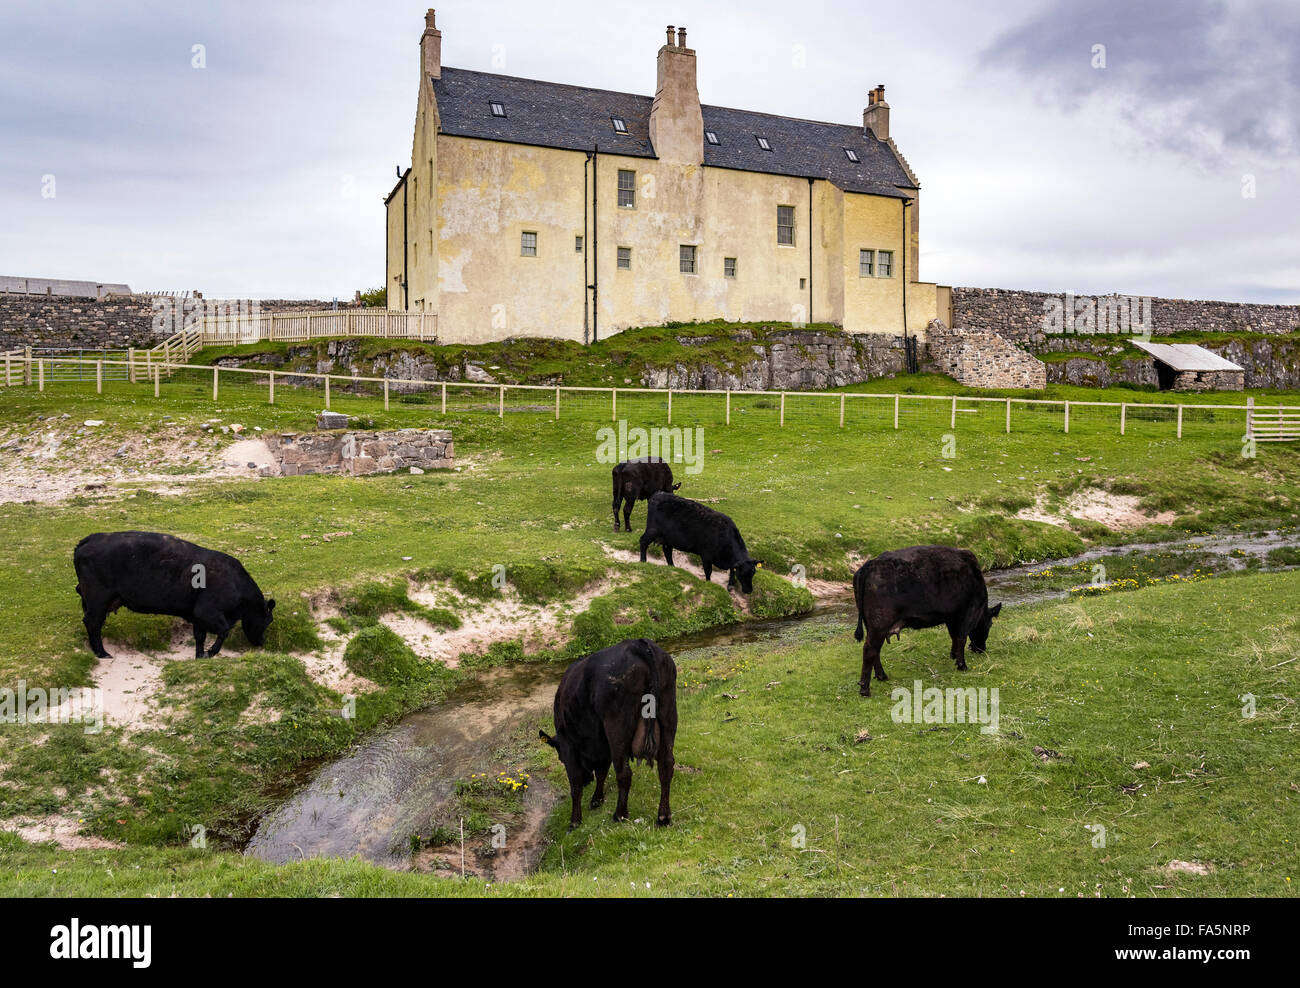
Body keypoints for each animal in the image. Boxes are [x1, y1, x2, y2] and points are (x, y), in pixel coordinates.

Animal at [73, 531, 276, 659]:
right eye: (267, 621)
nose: (262, 641)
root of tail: (89, 539)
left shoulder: (197, 616)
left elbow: (200, 637)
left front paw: (200, 655)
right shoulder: (207, 611)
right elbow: (223, 631)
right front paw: (211, 652)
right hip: (98, 599)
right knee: (92, 623)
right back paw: (102, 653)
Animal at [540, 638, 678, 829]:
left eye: (560, 758)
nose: (587, 780)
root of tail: (637, 643)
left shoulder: (568, 743)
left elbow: (575, 783)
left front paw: (575, 820)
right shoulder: (601, 743)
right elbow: (601, 772)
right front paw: (597, 799)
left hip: (616, 723)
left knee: (624, 772)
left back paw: (620, 814)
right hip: (668, 712)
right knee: (666, 764)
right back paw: (663, 816)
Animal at [852, 545, 1001, 697]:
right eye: (990, 624)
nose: (981, 649)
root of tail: (870, 564)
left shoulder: (951, 617)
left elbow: (953, 636)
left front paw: (953, 656)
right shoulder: (968, 613)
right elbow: (961, 638)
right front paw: (962, 665)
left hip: (872, 626)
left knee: (875, 651)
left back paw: (881, 676)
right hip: (879, 624)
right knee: (870, 650)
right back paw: (865, 689)